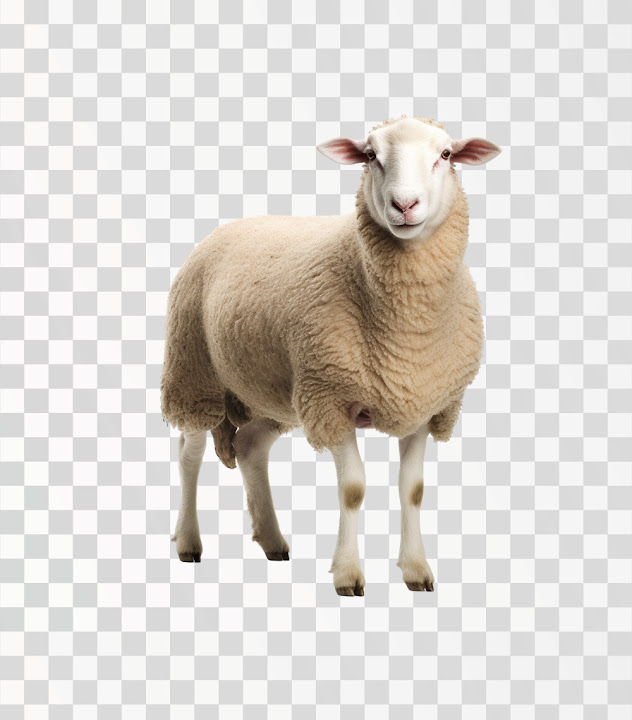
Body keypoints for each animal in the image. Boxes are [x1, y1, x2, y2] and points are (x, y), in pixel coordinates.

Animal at [162, 115, 501, 596]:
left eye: (446, 154)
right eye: (371, 155)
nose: (404, 204)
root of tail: (227, 226)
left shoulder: (422, 401)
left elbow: (412, 489)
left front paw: (416, 569)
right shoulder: (330, 398)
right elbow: (353, 489)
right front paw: (348, 575)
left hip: (277, 393)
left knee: (249, 446)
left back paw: (273, 541)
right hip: (195, 370)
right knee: (188, 455)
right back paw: (189, 542)